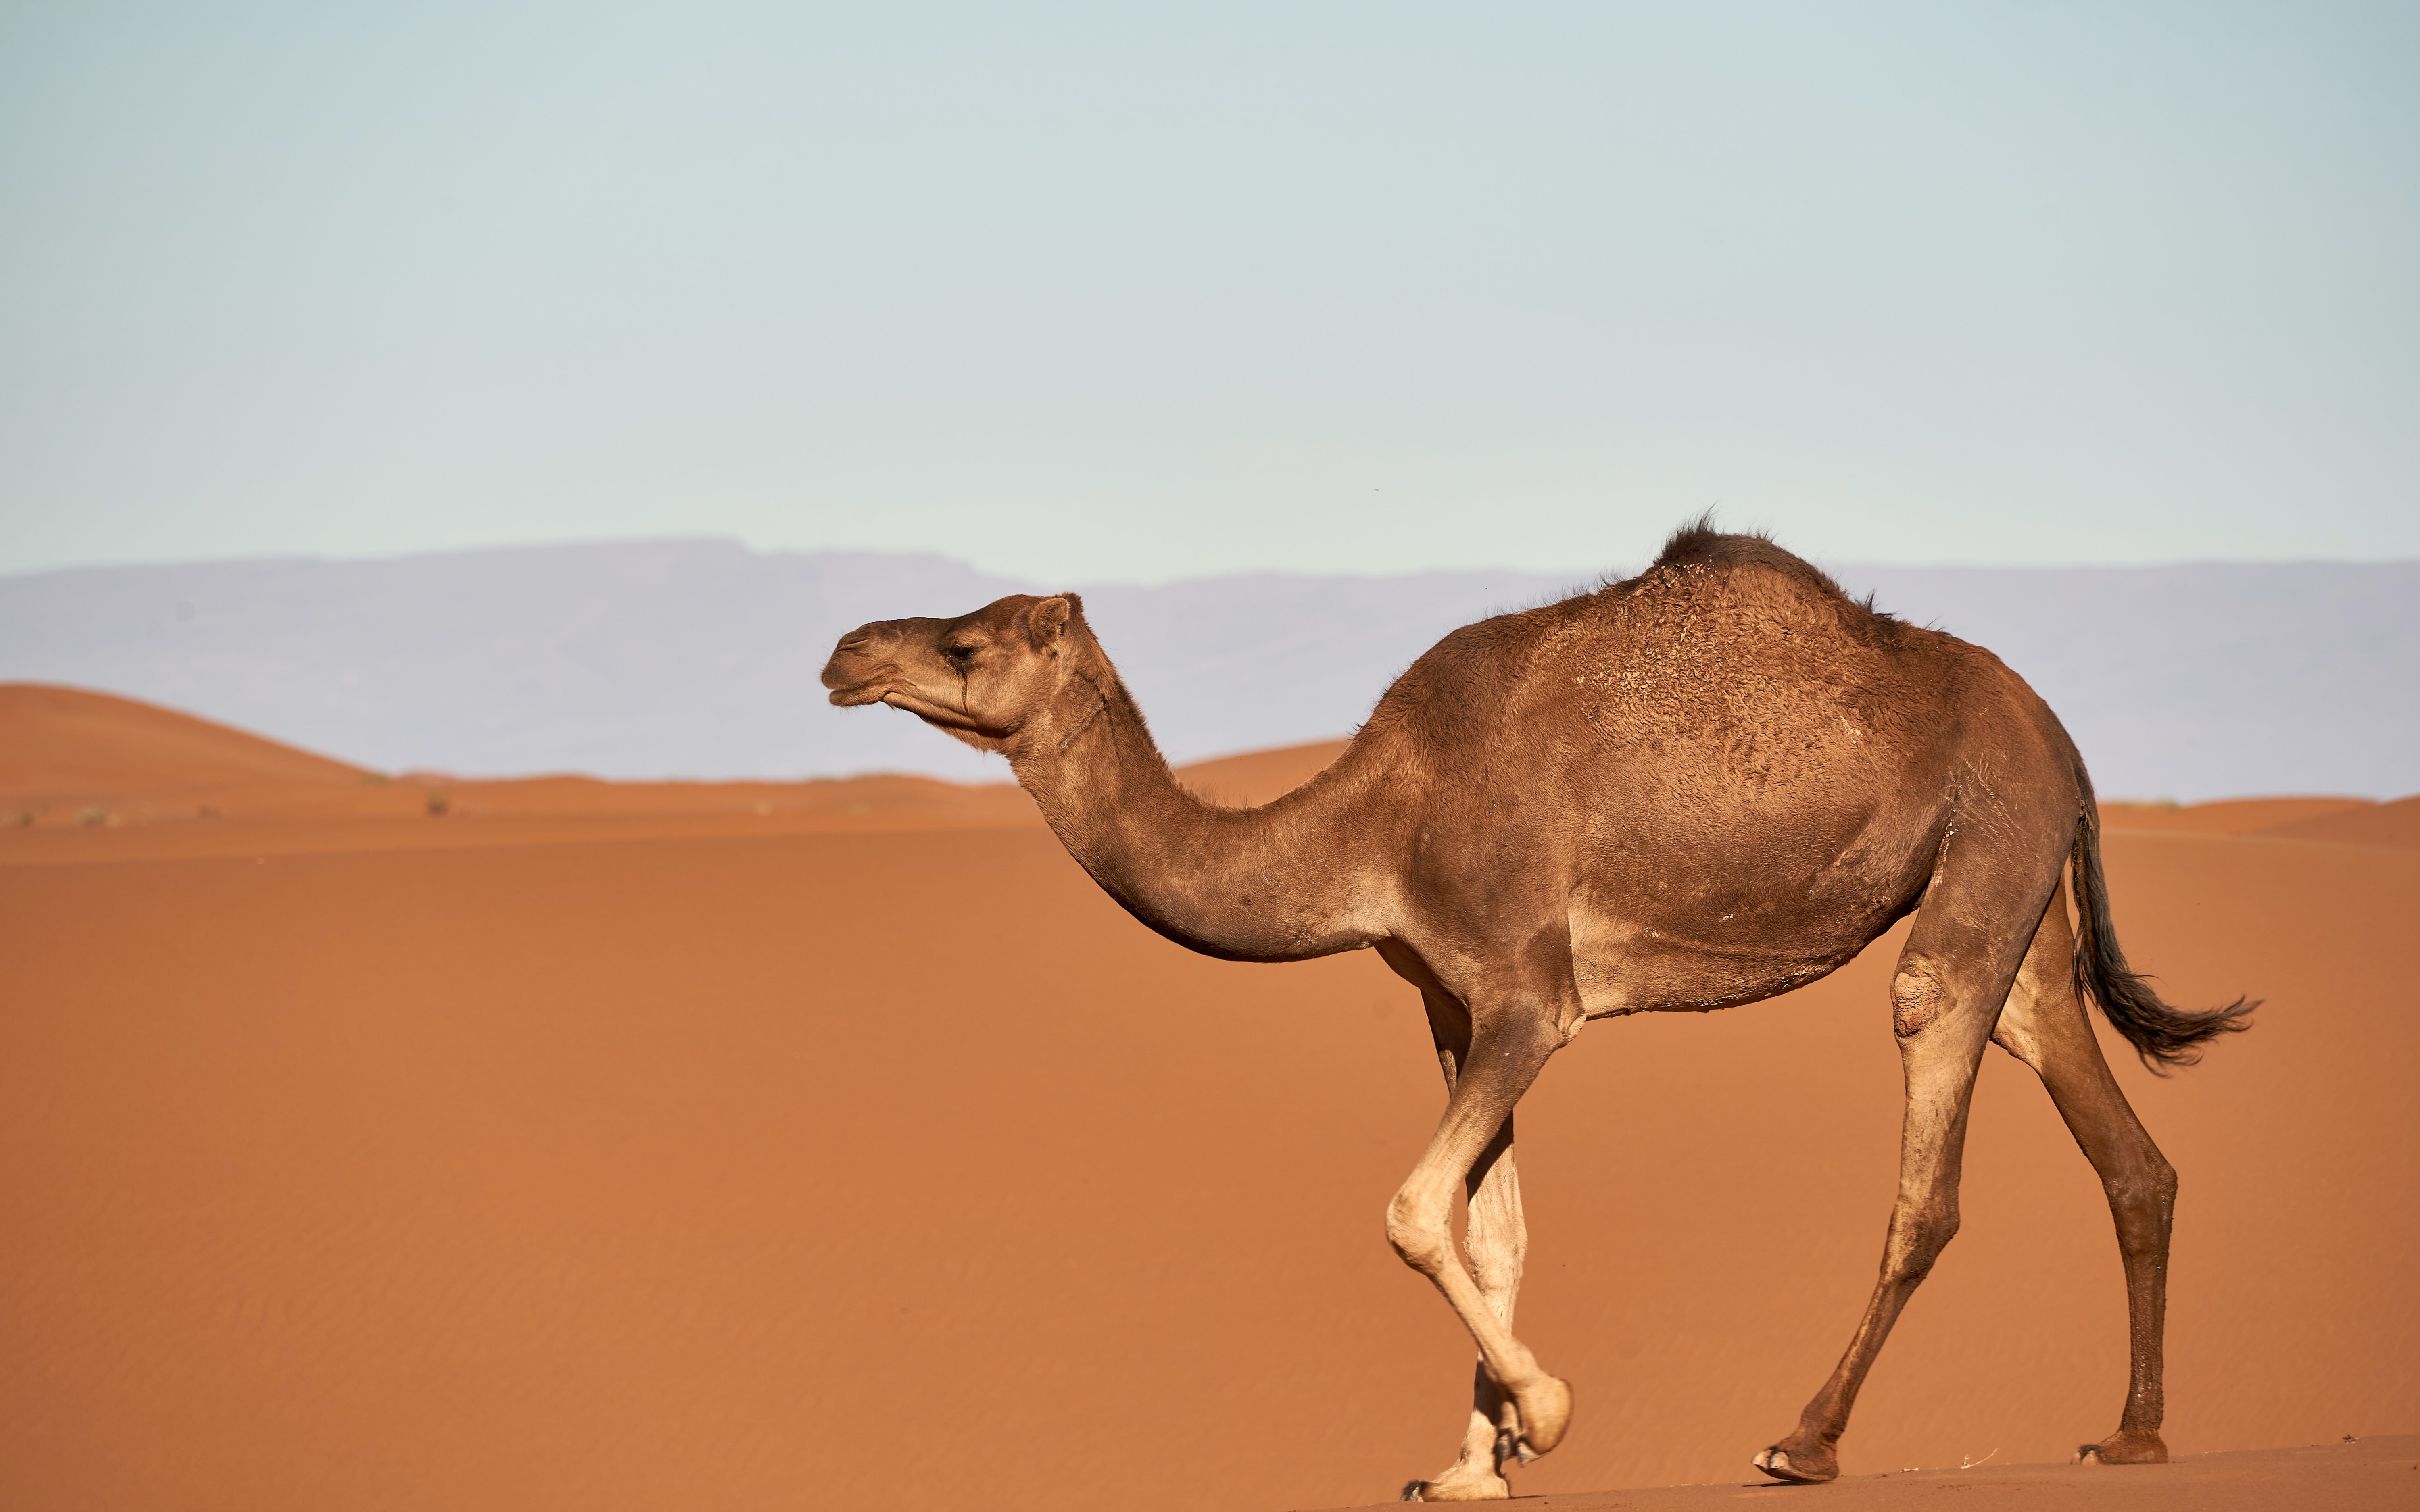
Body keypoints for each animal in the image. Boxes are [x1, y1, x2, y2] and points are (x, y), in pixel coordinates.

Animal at [820, 524, 2252, 1500]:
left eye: (965, 643)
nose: (843, 652)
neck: (1374, 821)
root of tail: (2064, 744)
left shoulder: (1528, 993)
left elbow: (1411, 1208)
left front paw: (1544, 1413)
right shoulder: (1451, 1004)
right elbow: (1491, 1225)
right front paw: (1471, 1461)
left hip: (1985, 848)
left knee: (1928, 1142)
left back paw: (1802, 1438)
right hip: (2019, 893)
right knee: (2117, 1136)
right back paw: (2131, 1432)